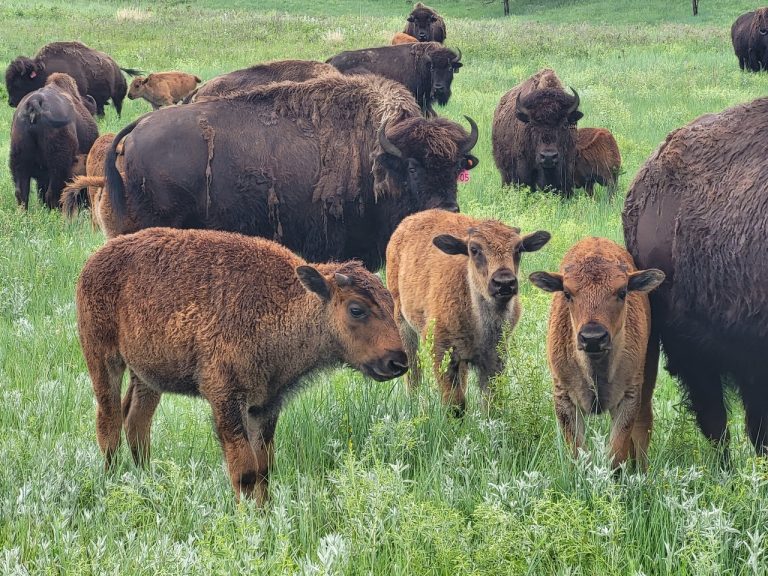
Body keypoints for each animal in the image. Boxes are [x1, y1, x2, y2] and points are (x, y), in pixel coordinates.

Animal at [5, 41, 140, 116]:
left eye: (17, 82)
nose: (11, 102)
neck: (41, 71)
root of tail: (116, 66)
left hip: (117, 96)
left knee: (118, 108)